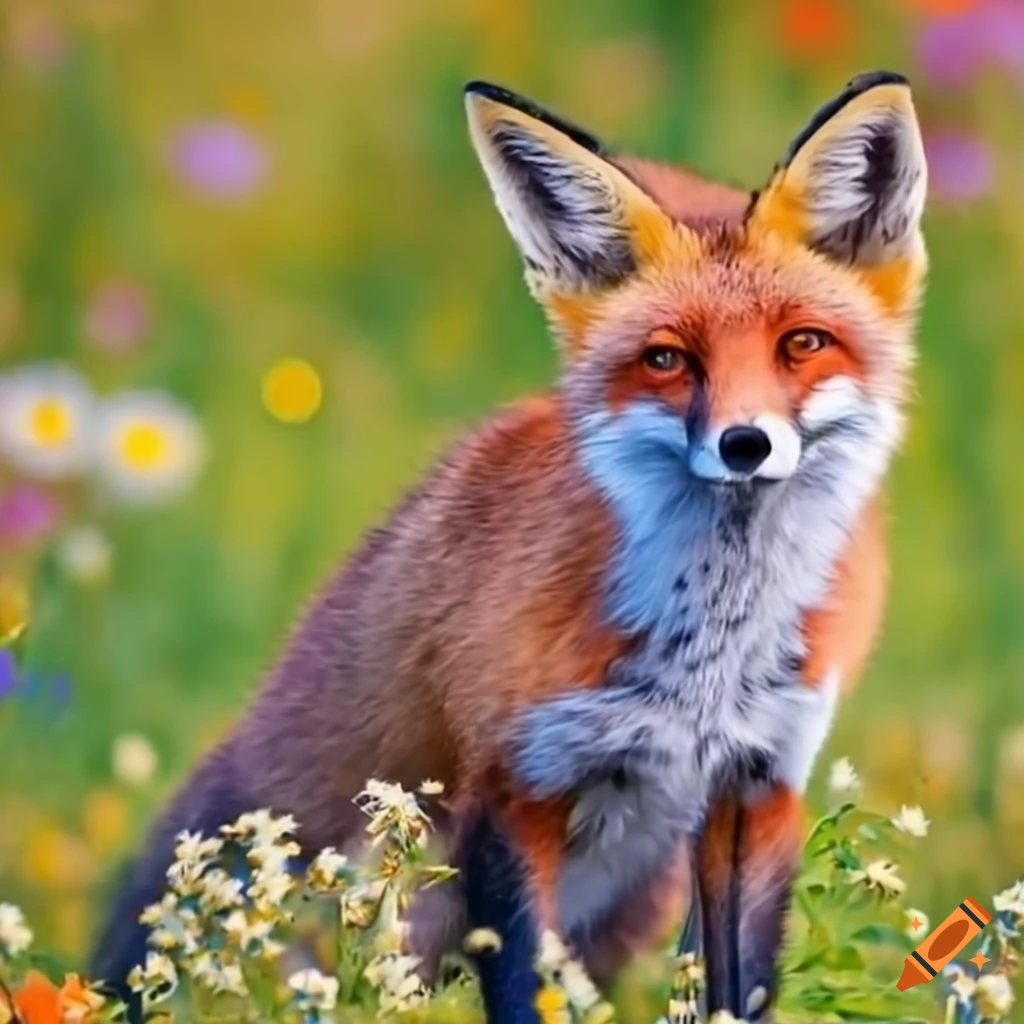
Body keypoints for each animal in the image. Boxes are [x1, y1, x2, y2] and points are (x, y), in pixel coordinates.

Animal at [91, 71, 927, 1024]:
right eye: (667, 359)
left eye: (802, 344)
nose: (745, 444)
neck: (707, 658)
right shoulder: (516, 787)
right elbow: (527, 983)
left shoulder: (760, 783)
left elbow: (736, 990)